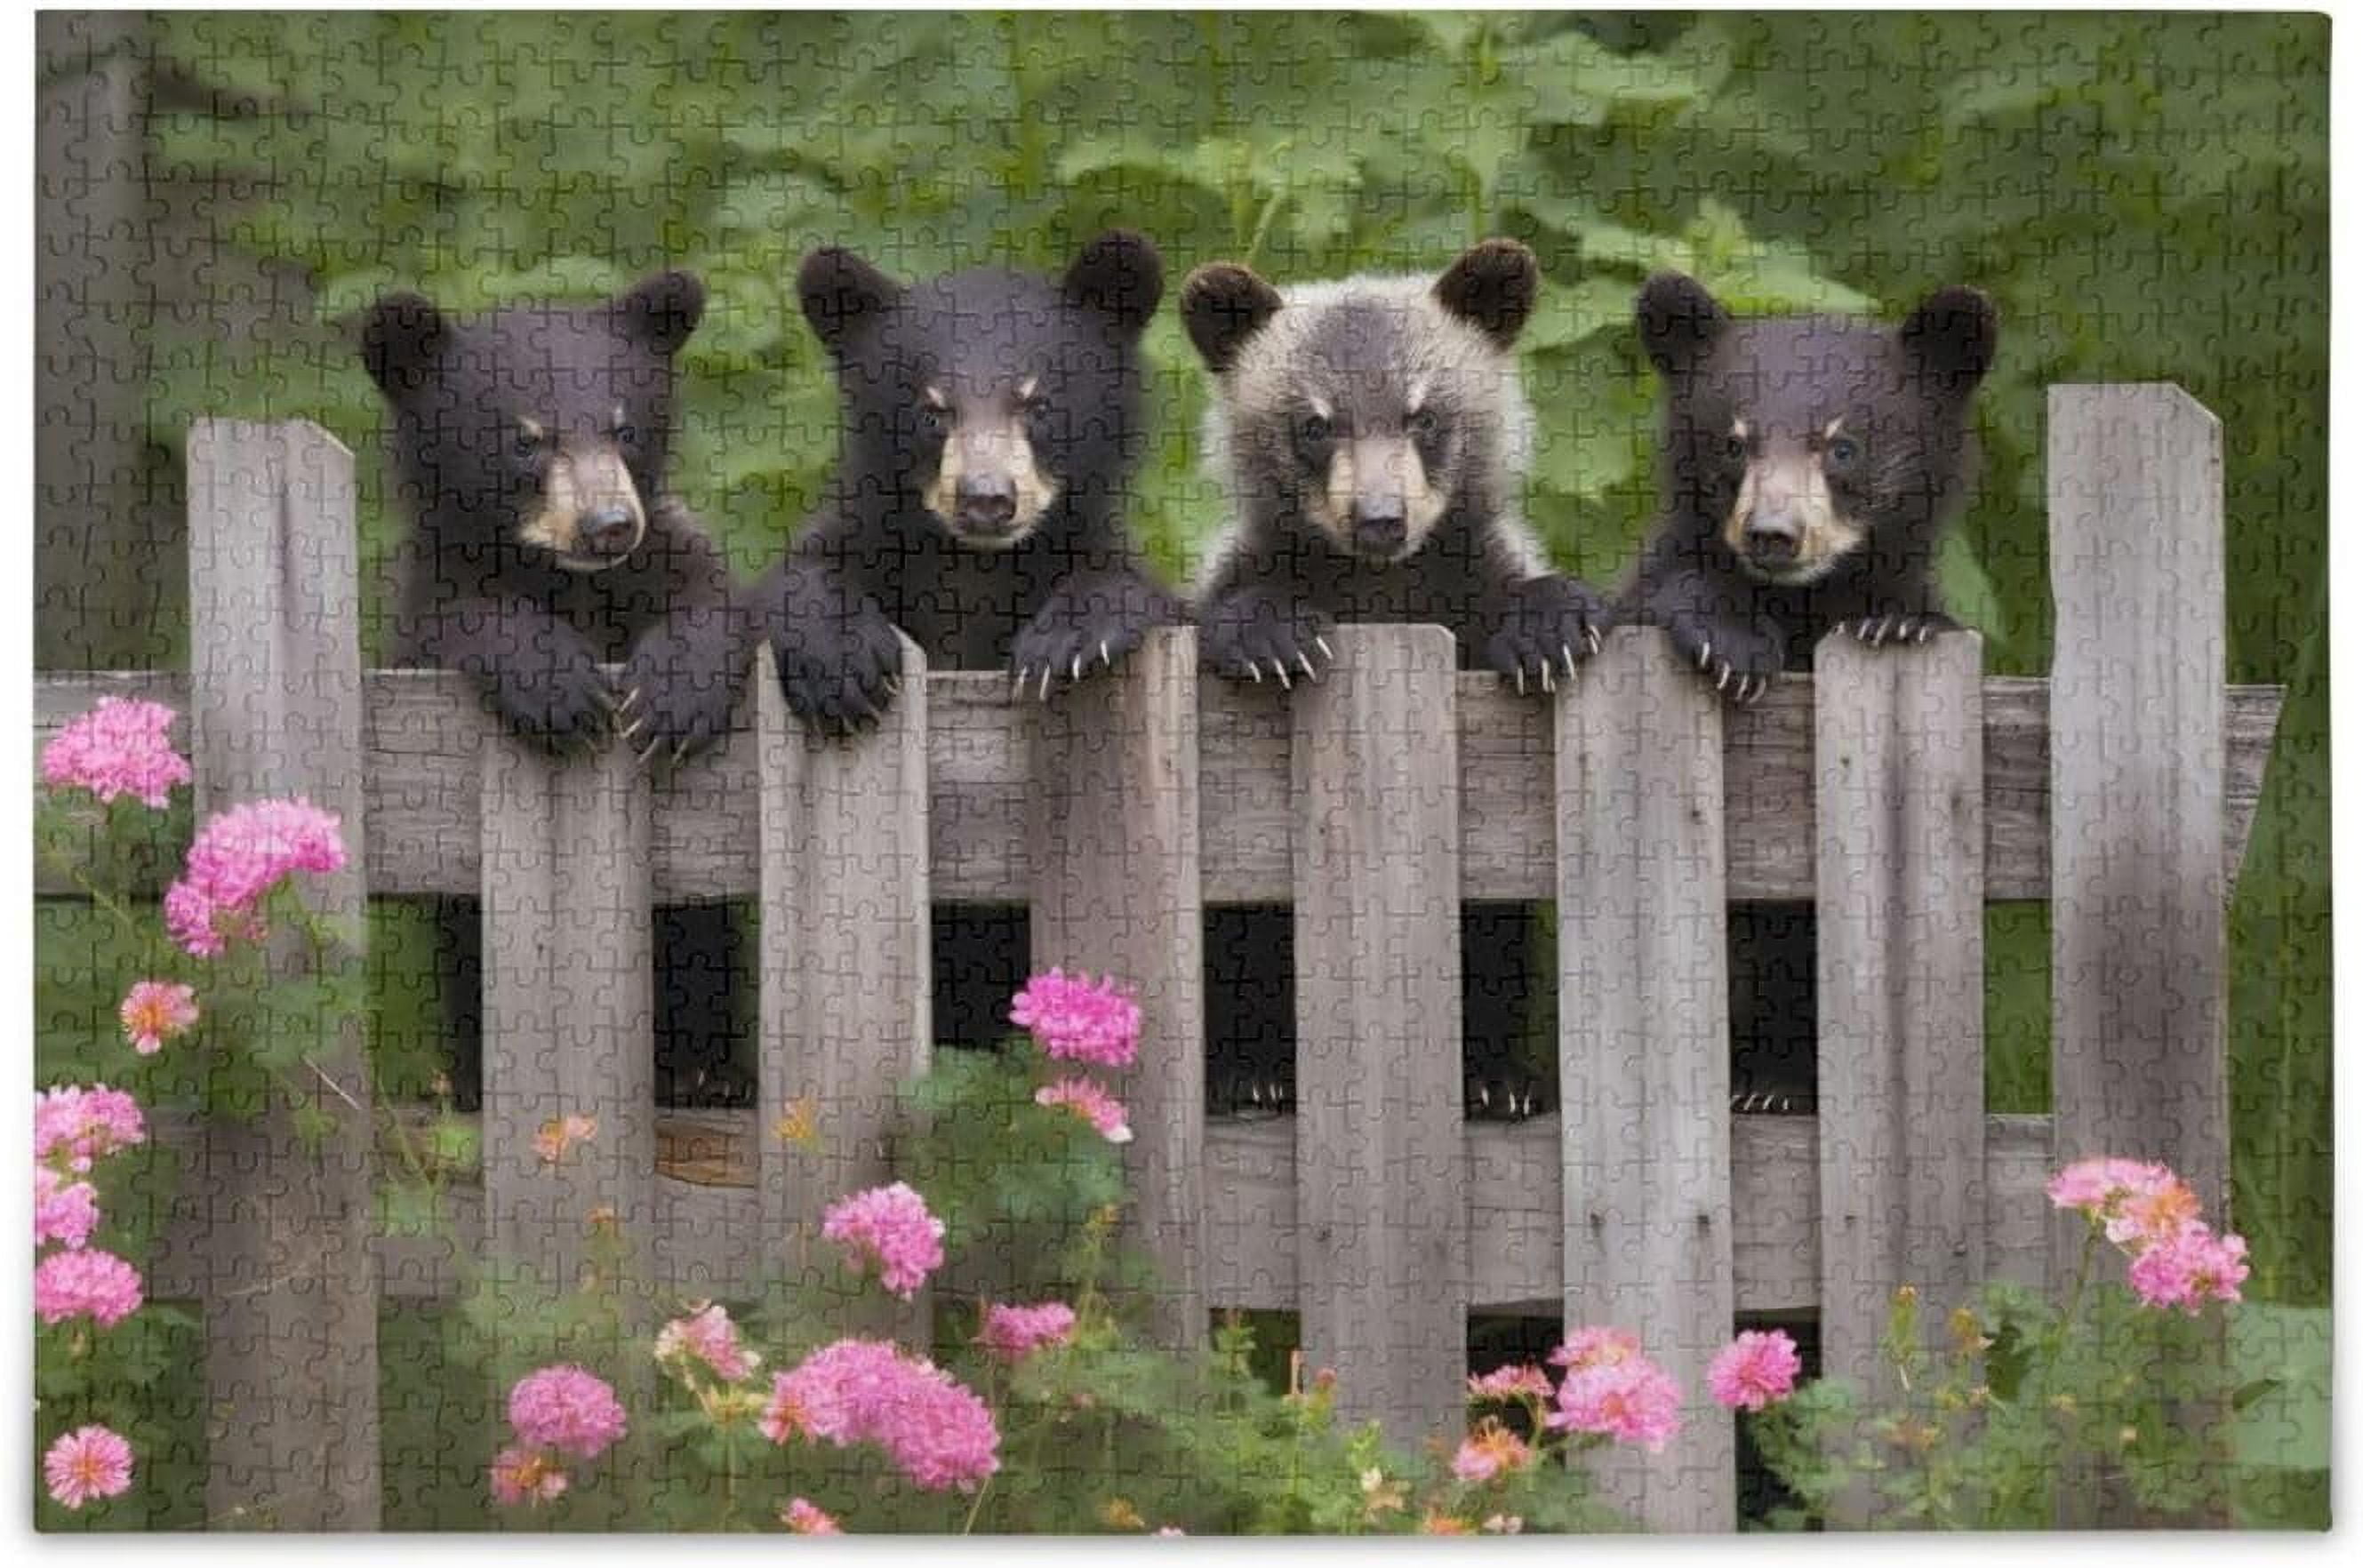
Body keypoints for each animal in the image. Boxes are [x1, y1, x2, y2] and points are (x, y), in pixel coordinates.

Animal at [361, 270, 754, 1106]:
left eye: (623, 426)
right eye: (525, 437)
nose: (608, 525)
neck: (571, 586)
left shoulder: (664, 558)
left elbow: (710, 596)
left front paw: (673, 695)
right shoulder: (429, 601)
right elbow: (463, 618)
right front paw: (557, 689)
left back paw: (708, 1077)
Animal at [755, 232, 1178, 1049]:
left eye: (1037, 401)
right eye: (932, 409)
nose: (987, 499)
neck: (972, 572)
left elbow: (1132, 586)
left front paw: (1066, 641)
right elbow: (790, 580)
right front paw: (845, 664)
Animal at [1179, 238, 1608, 1119]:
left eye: (1424, 414)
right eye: (1315, 423)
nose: (1380, 519)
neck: (1379, 585)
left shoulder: (1465, 582)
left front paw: (1550, 626)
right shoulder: (1249, 573)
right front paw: (1272, 634)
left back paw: (1496, 1079)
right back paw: (1254, 1072)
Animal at [1620, 272, 1999, 1113]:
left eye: (1842, 444)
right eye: (1735, 441)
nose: (1772, 534)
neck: (1804, 607)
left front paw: (1895, 626)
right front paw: (1729, 640)